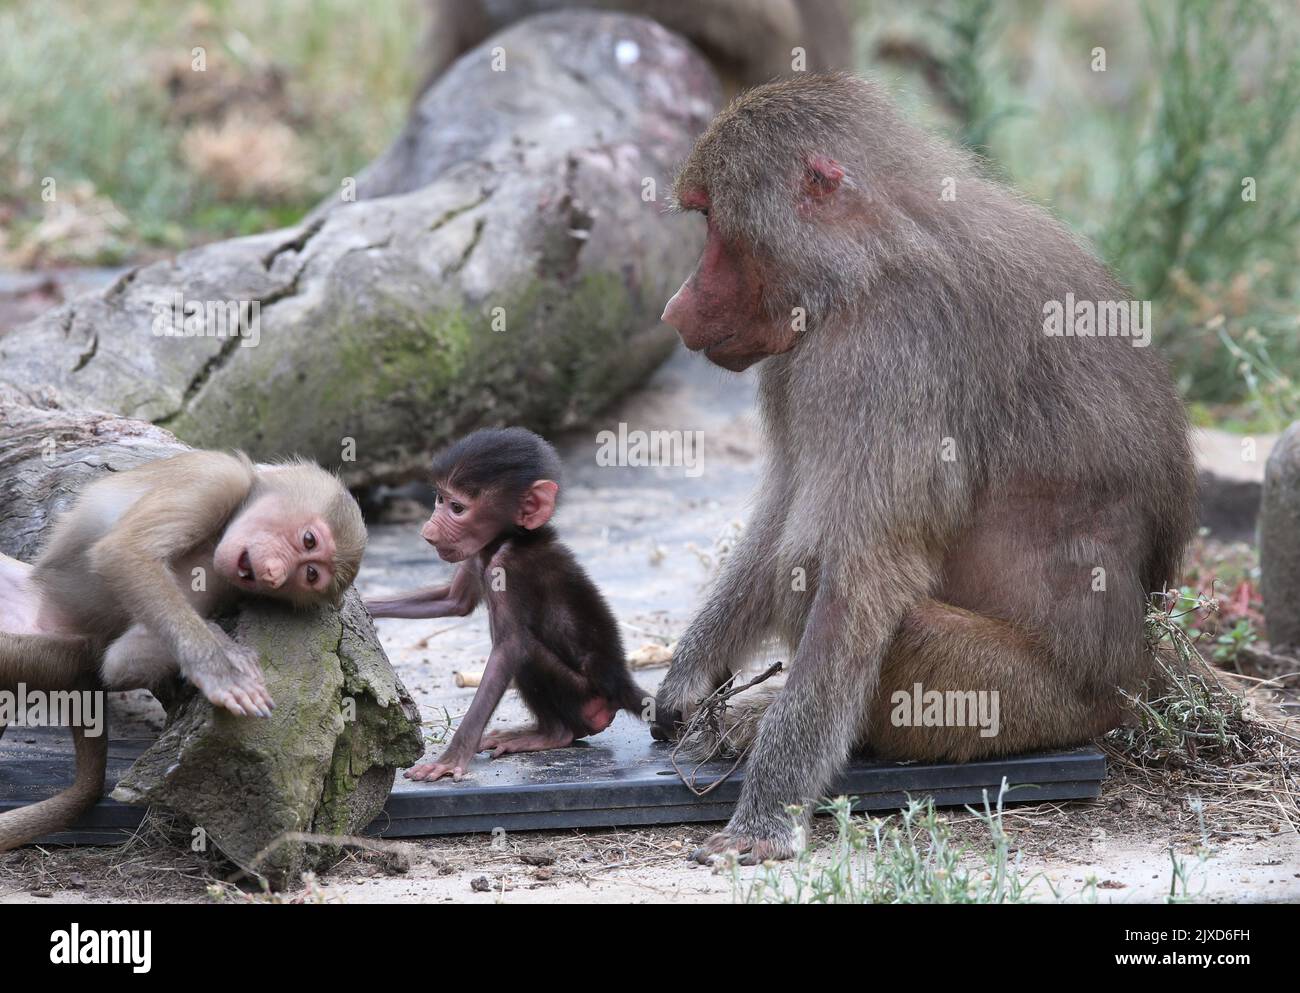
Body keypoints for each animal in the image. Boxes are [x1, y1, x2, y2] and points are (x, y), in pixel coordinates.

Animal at [0, 451, 367, 851]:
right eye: (309, 539)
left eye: (310, 574)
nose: (274, 574)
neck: (223, 527)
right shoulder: (215, 478)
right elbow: (124, 553)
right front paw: (221, 666)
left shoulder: (223, 579)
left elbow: (120, 662)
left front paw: (218, 645)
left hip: (44, 654)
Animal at [365, 427, 647, 782]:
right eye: (439, 499)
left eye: (457, 508)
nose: (428, 531)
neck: (512, 538)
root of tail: (618, 682)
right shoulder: (475, 553)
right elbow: (454, 601)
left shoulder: (507, 567)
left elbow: (508, 649)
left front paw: (452, 757)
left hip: (584, 697)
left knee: (527, 651)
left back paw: (550, 734)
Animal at [649, 73, 1198, 863]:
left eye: (711, 226)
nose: (673, 311)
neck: (868, 260)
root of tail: (1133, 672)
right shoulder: (799, 352)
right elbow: (784, 502)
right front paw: (687, 680)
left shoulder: (896, 347)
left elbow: (864, 570)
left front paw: (766, 815)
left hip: (1024, 698)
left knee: (828, 581)